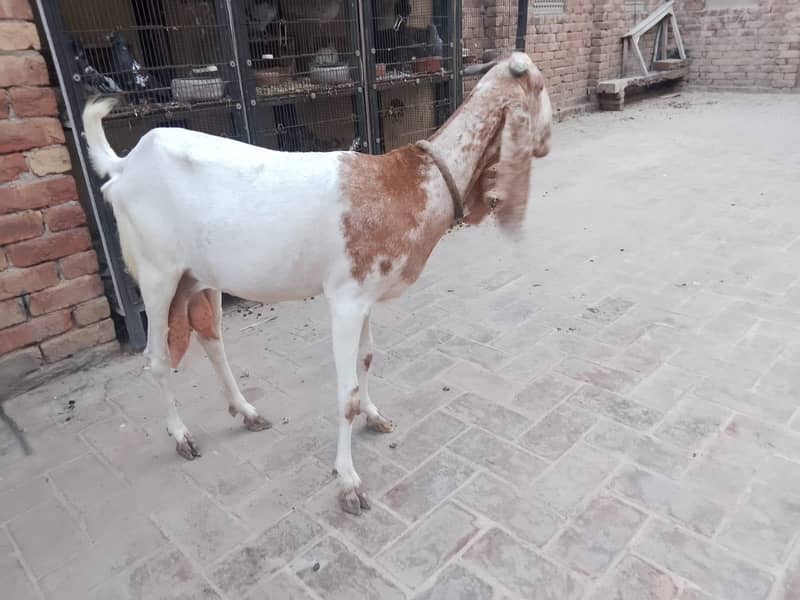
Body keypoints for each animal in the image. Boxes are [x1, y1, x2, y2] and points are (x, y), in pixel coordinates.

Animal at [82, 52, 552, 515]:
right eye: (541, 85)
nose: (547, 140)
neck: (408, 184)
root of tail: (126, 164)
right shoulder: (345, 299)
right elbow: (345, 392)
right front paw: (348, 483)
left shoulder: (365, 296)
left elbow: (367, 359)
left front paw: (374, 415)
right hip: (158, 273)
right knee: (157, 357)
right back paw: (182, 436)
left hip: (200, 277)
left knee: (211, 339)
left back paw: (246, 411)